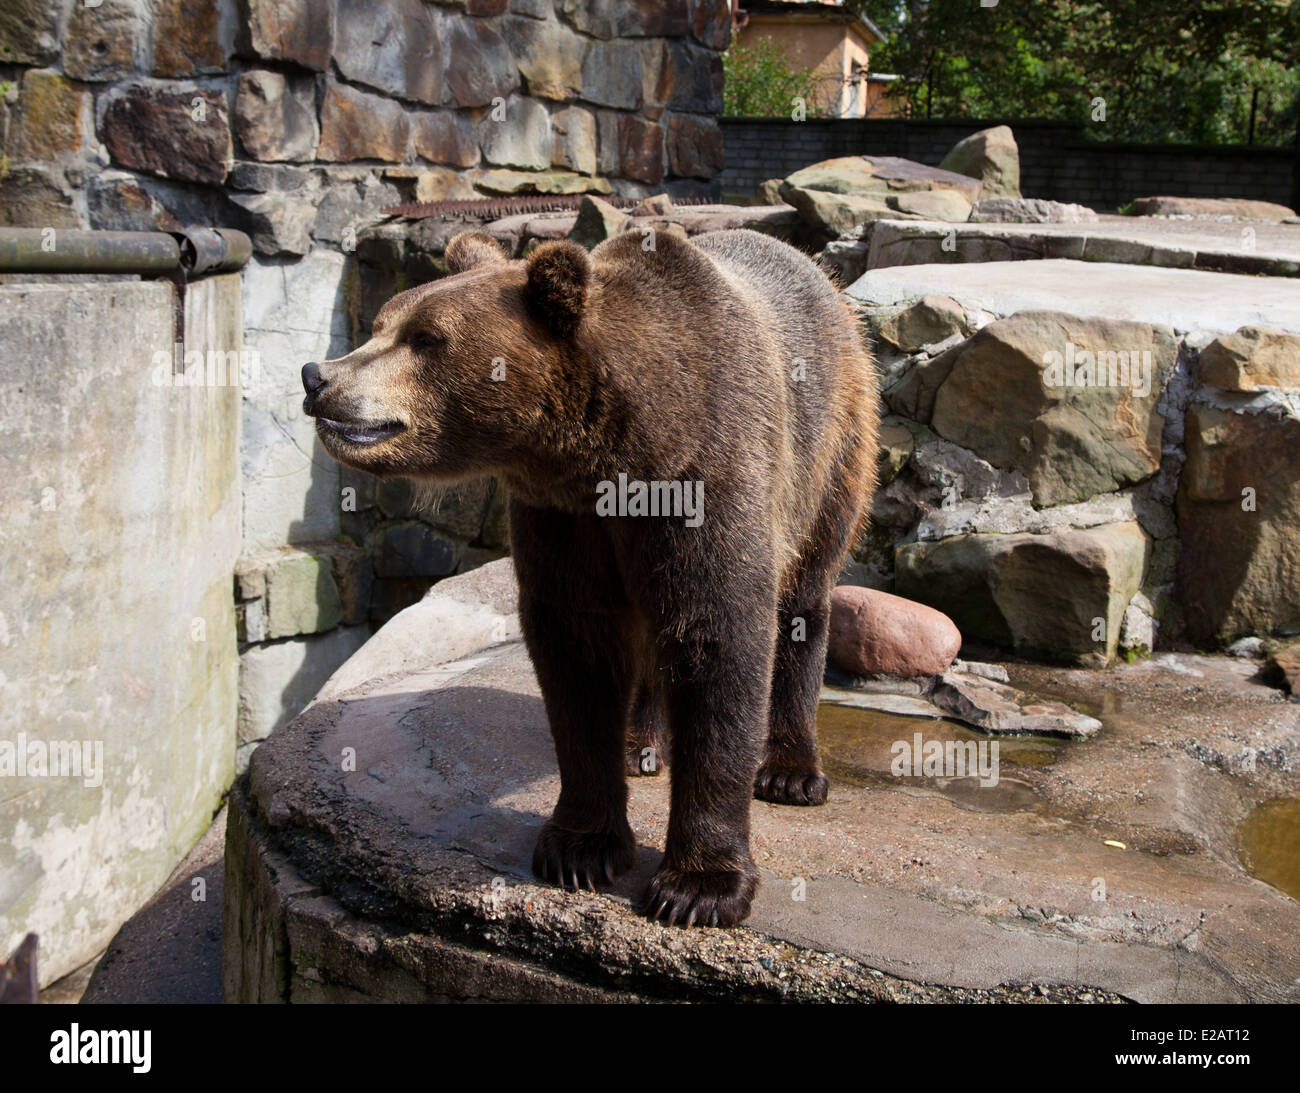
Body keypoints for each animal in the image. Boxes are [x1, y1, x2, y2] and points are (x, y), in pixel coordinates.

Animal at [302, 226, 878, 927]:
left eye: (426, 338)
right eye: (382, 322)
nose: (317, 375)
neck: (620, 456)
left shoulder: (711, 474)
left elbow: (720, 636)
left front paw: (699, 887)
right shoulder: (563, 517)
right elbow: (576, 651)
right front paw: (580, 848)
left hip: (833, 440)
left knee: (806, 595)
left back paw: (790, 768)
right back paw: (638, 741)